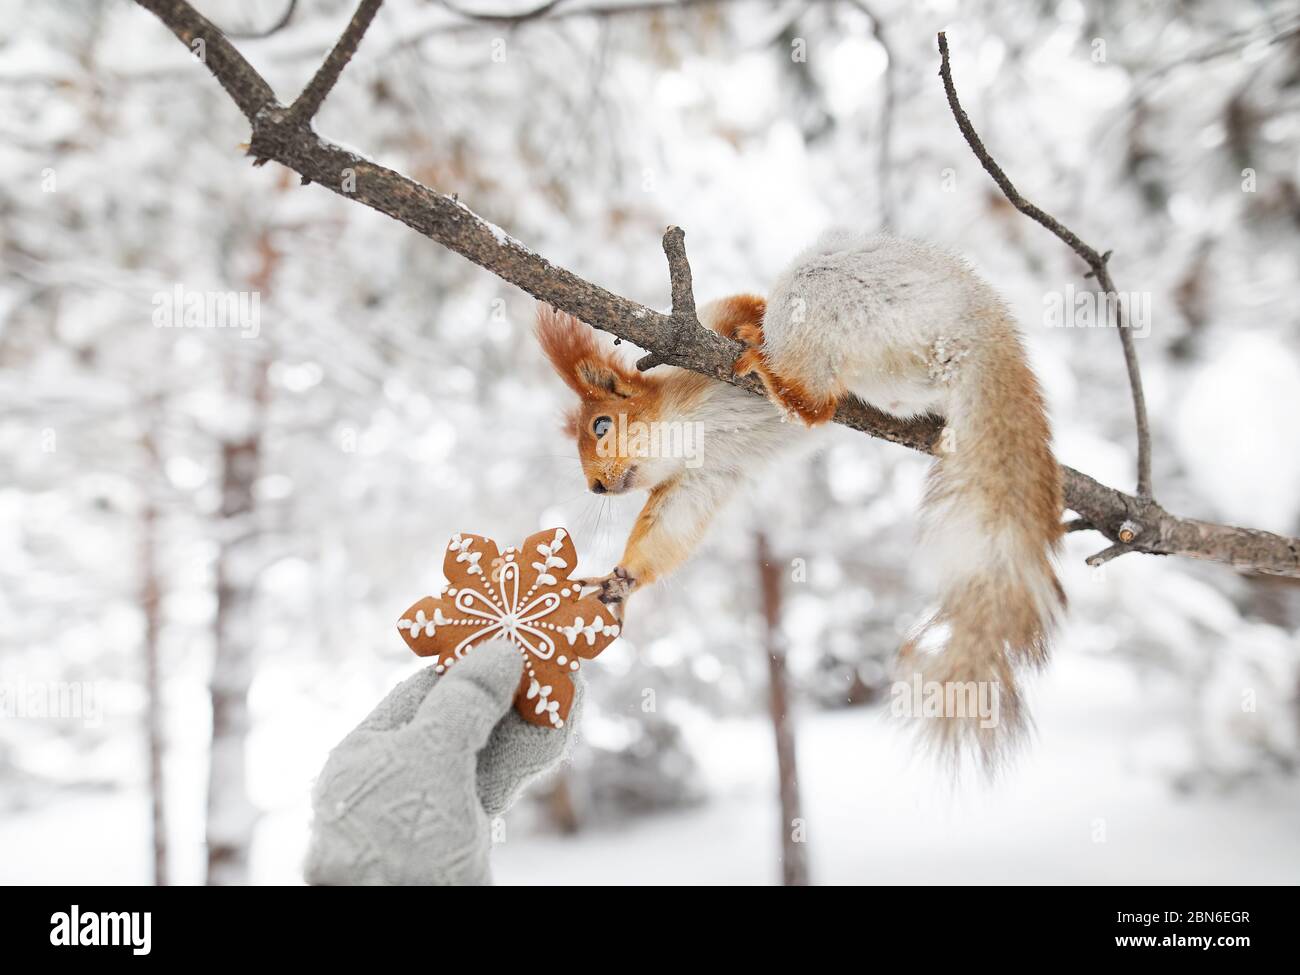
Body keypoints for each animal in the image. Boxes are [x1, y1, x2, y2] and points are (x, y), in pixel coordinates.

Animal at [536, 229, 1065, 765]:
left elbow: (745, 308)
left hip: (834, 291)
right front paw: (620, 581)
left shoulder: (715, 323)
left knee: (814, 402)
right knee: (823, 406)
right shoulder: (702, 479)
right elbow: (670, 526)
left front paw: (750, 332)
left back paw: (764, 362)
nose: (595, 486)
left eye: (602, 426)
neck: (685, 428)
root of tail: (977, 327)